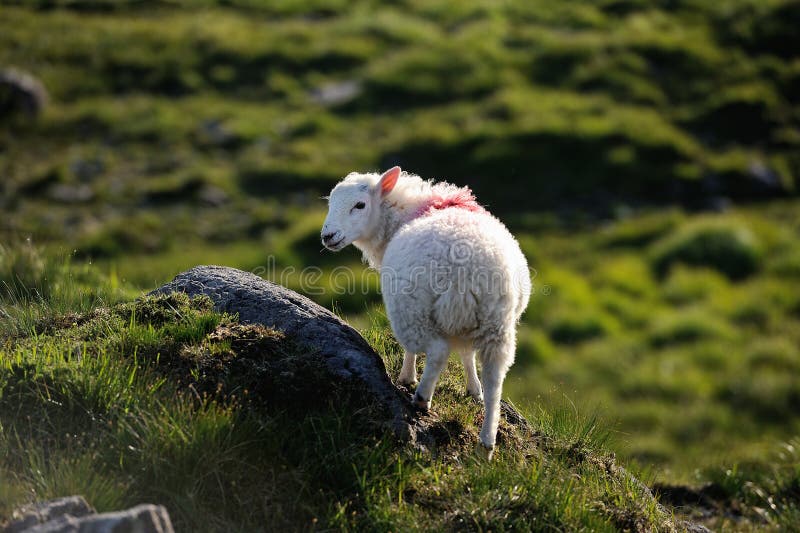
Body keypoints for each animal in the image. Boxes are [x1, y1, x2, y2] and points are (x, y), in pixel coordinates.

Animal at [321, 166, 531, 458]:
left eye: (359, 205)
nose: (327, 236)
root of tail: (464, 271)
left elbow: (412, 352)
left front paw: (407, 377)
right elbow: (467, 355)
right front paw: (473, 388)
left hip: (413, 310)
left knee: (436, 352)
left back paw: (421, 397)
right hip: (496, 324)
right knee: (494, 381)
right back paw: (487, 442)